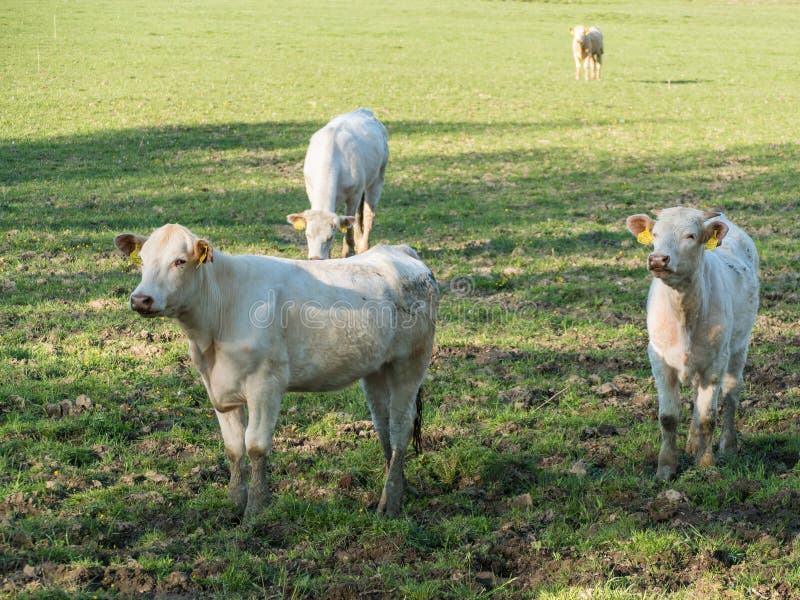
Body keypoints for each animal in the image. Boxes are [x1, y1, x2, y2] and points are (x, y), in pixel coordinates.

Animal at [114, 224, 438, 518]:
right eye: (142, 259)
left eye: (180, 261)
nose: (141, 299)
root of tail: (398, 251)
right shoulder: (218, 389)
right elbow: (233, 448)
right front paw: (233, 504)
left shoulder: (266, 385)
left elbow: (256, 446)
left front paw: (255, 510)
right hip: (376, 369)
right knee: (383, 426)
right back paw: (400, 486)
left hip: (410, 363)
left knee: (401, 427)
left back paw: (390, 502)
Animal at [287, 108, 389, 260]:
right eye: (307, 235)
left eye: (330, 237)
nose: (316, 259)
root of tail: (364, 110)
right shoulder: (311, 190)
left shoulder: (354, 195)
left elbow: (349, 227)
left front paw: (348, 253)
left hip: (378, 177)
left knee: (368, 214)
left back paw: (363, 248)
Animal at [626, 207, 759, 480]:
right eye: (655, 234)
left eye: (691, 235)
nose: (658, 259)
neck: (683, 310)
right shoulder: (659, 359)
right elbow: (668, 417)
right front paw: (666, 468)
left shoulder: (716, 361)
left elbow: (708, 417)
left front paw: (706, 463)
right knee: (698, 396)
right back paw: (692, 444)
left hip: (738, 347)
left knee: (731, 394)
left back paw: (728, 446)